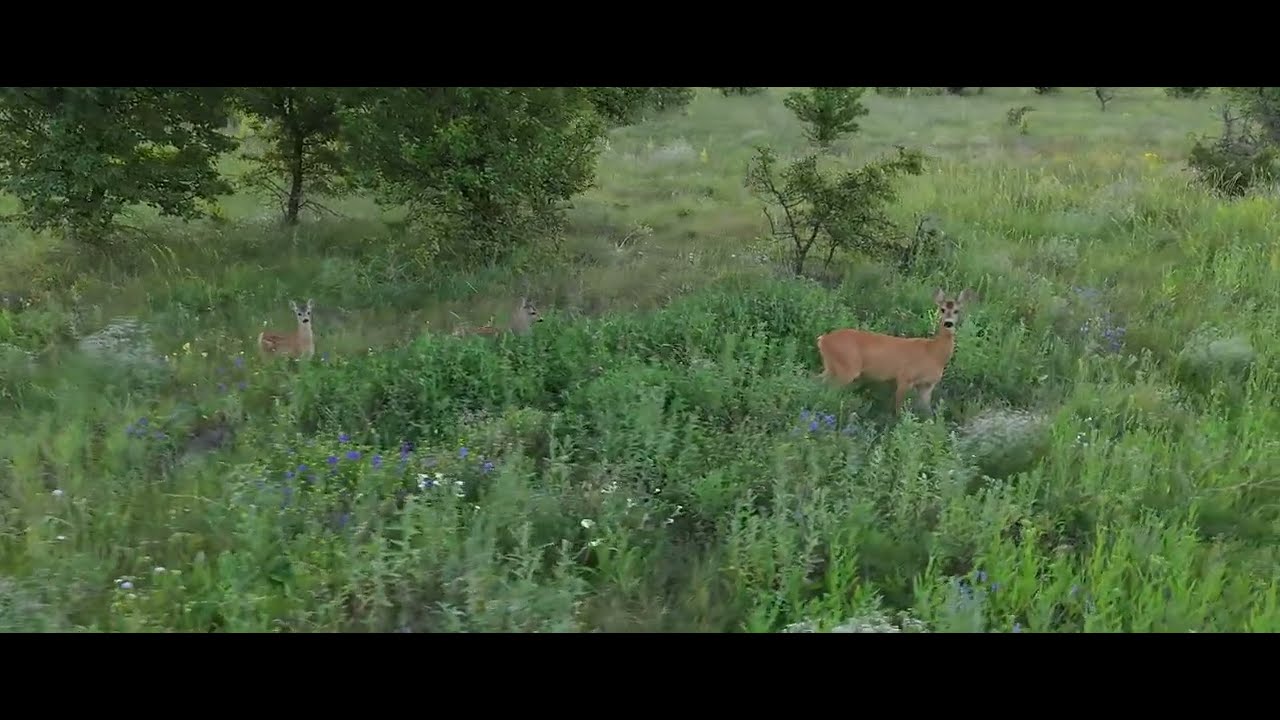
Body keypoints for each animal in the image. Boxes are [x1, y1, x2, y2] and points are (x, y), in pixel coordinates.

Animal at [816, 288, 977, 416]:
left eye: (956, 311)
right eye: (942, 309)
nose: (948, 323)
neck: (933, 353)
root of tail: (823, 339)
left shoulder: (927, 385)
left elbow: (927, 411)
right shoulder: (905, 377)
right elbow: (898, 409)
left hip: (831, 366)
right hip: (847, 367)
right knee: (830, 388)